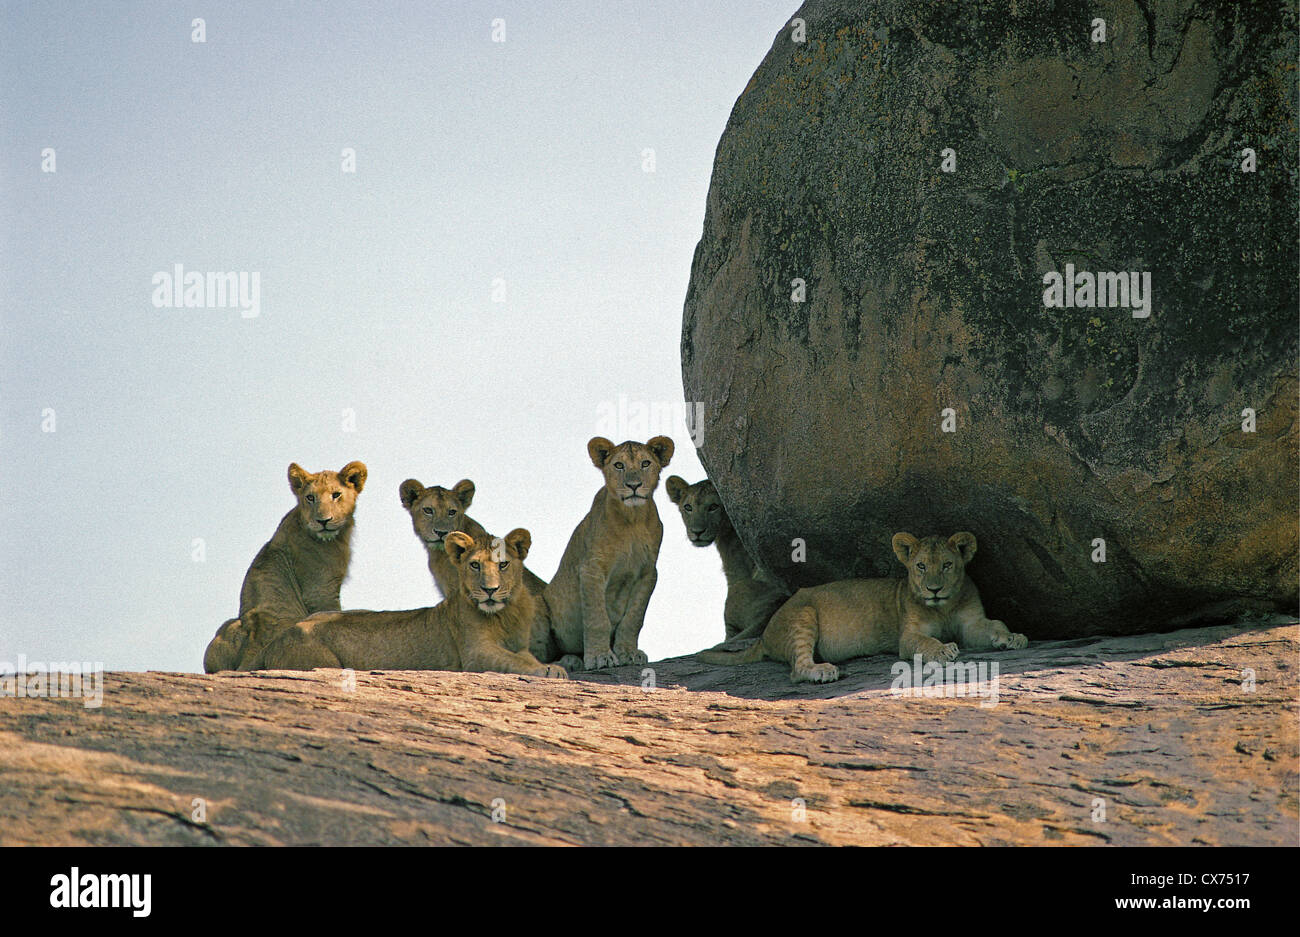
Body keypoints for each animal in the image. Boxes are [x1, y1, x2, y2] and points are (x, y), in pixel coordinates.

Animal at [247, 528, 566, 679]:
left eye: (502, 564)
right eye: (474, 565)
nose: (489, 590)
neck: (504, 614)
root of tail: (274, 641)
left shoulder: (520, 646)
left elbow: (524, 658)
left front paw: (552, 666)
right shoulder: (475, 654)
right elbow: (513, 662)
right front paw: (549, 670)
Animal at [533, 436, 674, 671]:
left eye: (645, 463)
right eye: (619, 465)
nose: (634, 485)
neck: (632, 519)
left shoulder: (648, 573)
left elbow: (634, 618)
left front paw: (628, 652)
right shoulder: (592, 568)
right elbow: (597, 618)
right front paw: (600, 656)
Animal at [664, 476, 789, 643]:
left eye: (713, 507)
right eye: (688, 507)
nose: (697, 532)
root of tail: (768, 613)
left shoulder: (735, 571)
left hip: (736, 592)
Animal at [696, 532, 1028, 684]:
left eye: (947, 565)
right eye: (920, 566)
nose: (934, 589)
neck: (942, 608)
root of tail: (765, 634)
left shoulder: (971, 623)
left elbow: (994, 624)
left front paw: (1013, 637)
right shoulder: (907, 637)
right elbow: (924, 641)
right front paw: (943, 650)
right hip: (803, 614)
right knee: (796, 668)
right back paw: (822, 671)